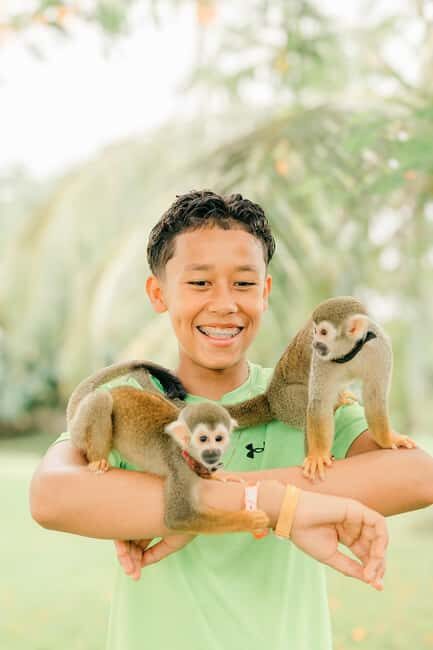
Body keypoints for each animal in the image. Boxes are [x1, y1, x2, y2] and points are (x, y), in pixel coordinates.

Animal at [67, 370, 269, 536]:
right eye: (203, 439)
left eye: (219, 438)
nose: (213, 452)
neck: (187, 453)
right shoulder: (179, 468)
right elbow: (179, 517)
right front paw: (249, 519)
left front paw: (220, 475)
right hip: (79, 430)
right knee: (101, 399)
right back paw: (97, 459)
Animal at [225, 296, 417, 481]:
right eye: (315, 331)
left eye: (323, 332)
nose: (315, 343)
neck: (351, 352)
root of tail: (270, 397)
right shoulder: (320, 359)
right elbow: (319, 404)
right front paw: (317, 456)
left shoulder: (380, 348)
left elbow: (374, 397)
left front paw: (387, 440)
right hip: (287, 401)